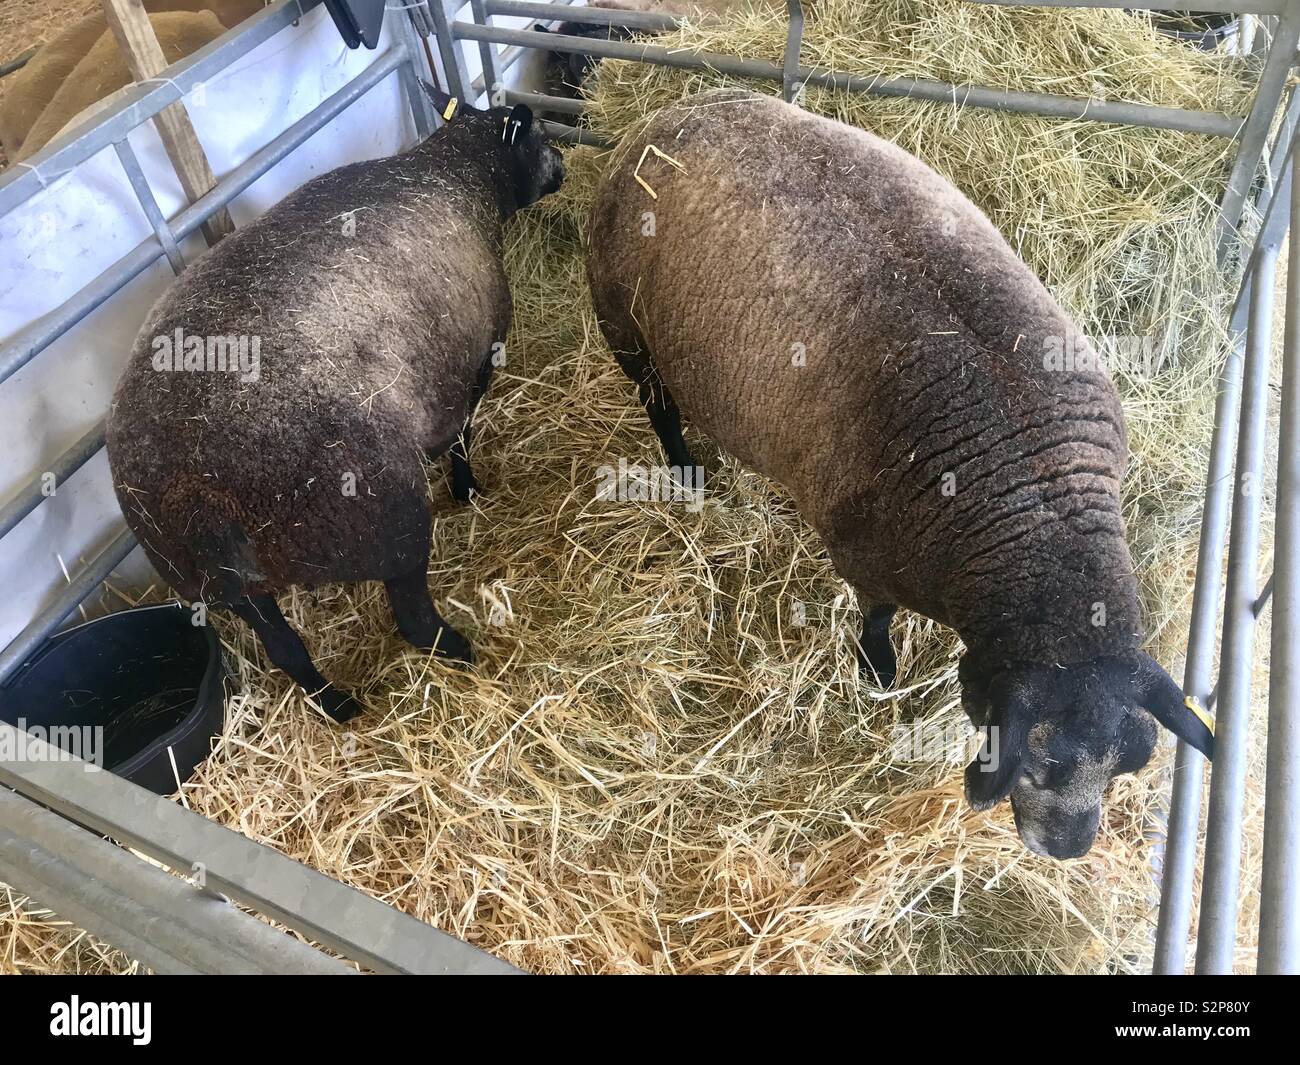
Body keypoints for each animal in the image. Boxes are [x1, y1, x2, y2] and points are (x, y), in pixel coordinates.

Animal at [106, 87, 565, 723]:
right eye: (540, 137)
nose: (564, 167)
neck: (455, 172)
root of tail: (199, 497)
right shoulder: (475, 357)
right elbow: (461, 433)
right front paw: (467, 488)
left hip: (221, 587)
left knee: (286, 651)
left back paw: (339, 706)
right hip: (383, 519)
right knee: (413, 619)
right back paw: (462, 652)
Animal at [585, 88, 1213, 859]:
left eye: (1132, 761)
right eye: (1037, 765)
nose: (1066, 849)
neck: (1037, 502)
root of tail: (665, 115)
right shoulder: (867, 555)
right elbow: (877, 614)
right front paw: (878, 670)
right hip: (627, 329)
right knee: (659, 405)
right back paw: (686, 472)